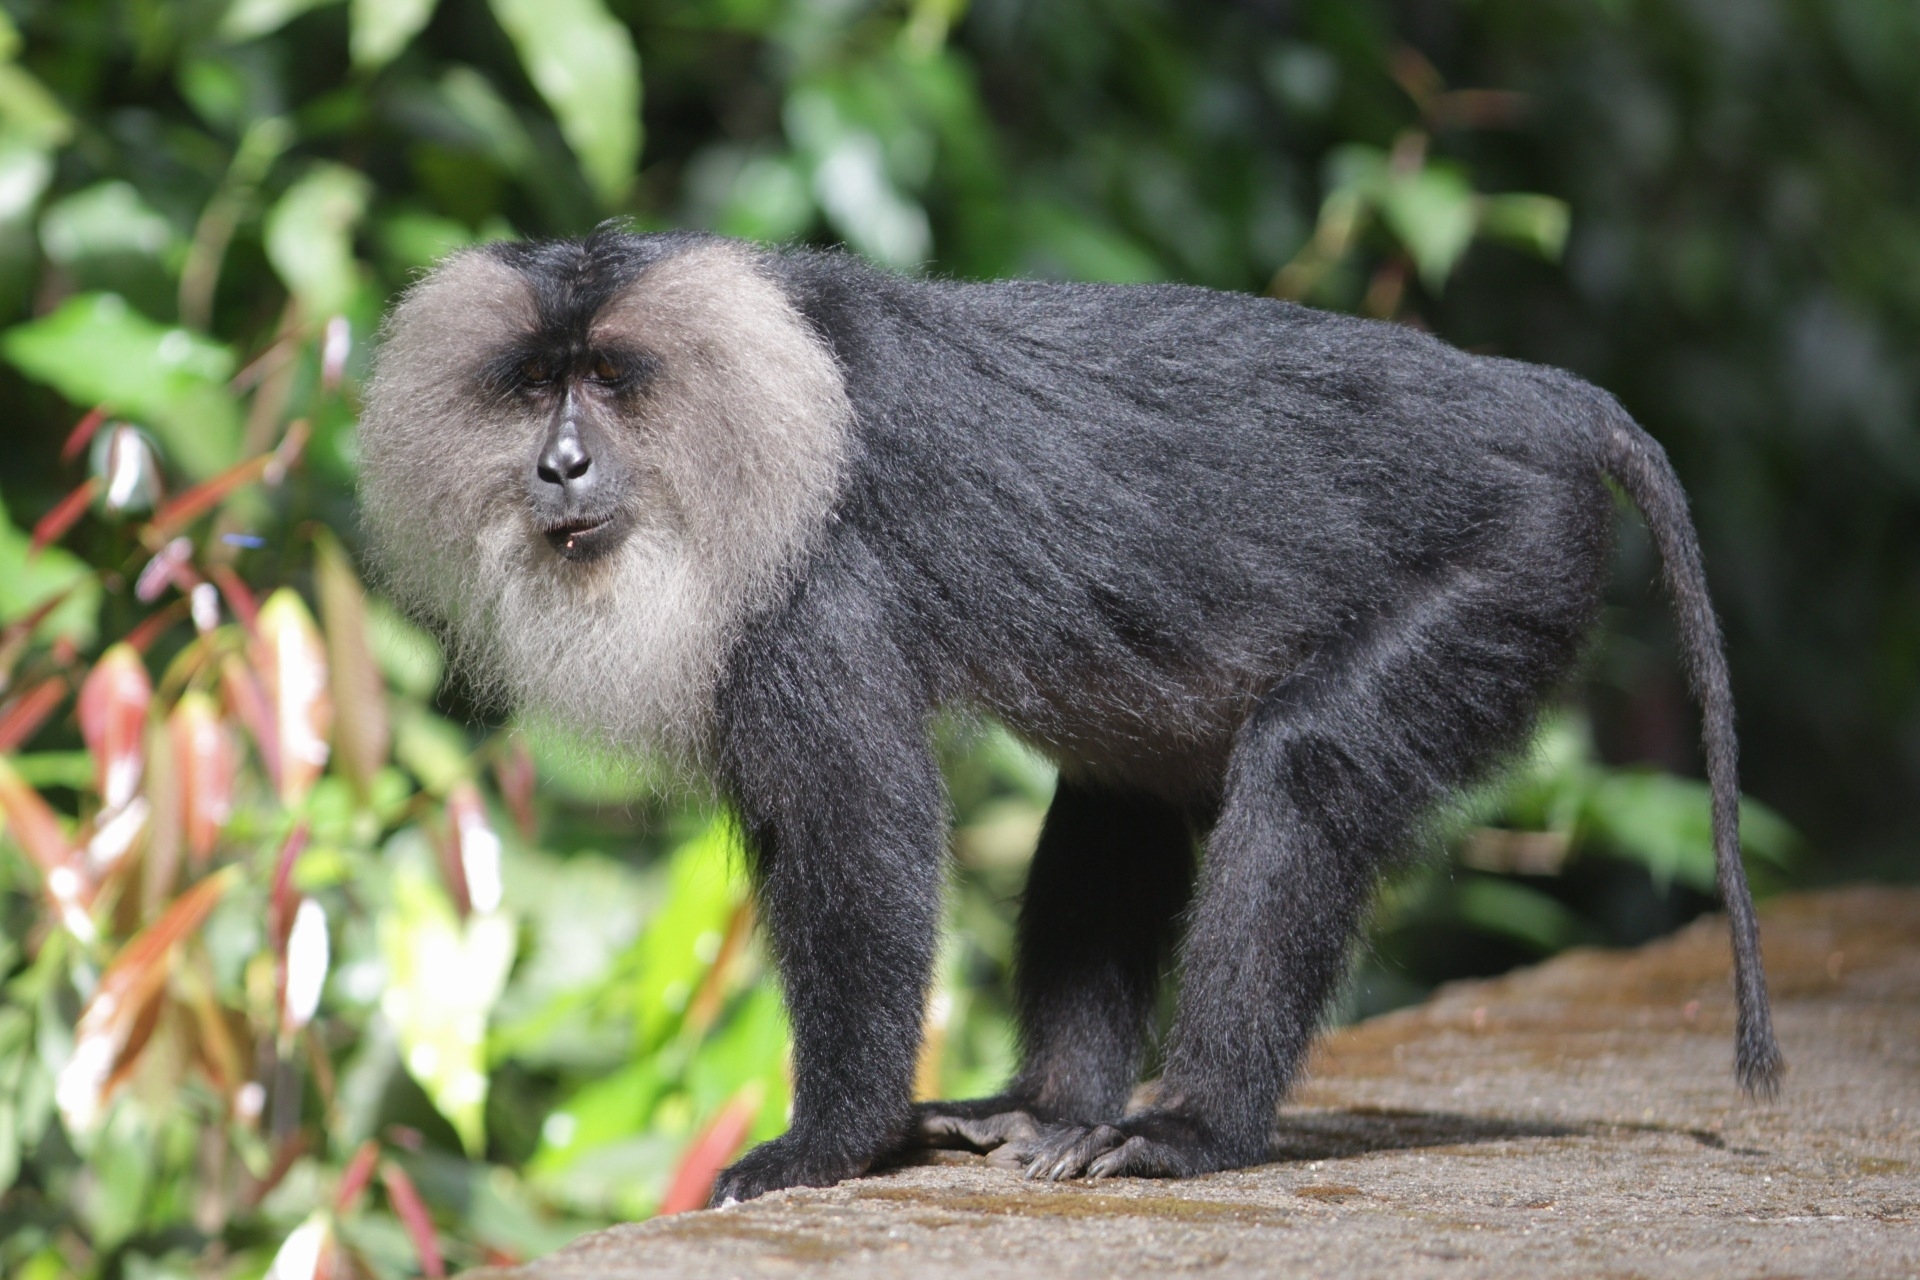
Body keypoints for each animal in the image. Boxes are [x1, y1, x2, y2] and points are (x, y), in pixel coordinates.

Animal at [356, 227, 1781, 1206]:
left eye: (609, 377)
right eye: (535, 383)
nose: (561, 465)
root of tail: (1536, 399)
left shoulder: (816, 592)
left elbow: (862, 833)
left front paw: (827, 1144)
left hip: (1513, 560)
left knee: (1310, 767)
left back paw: (1192, 1133)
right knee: (1121, 794)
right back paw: (1046, 1107)